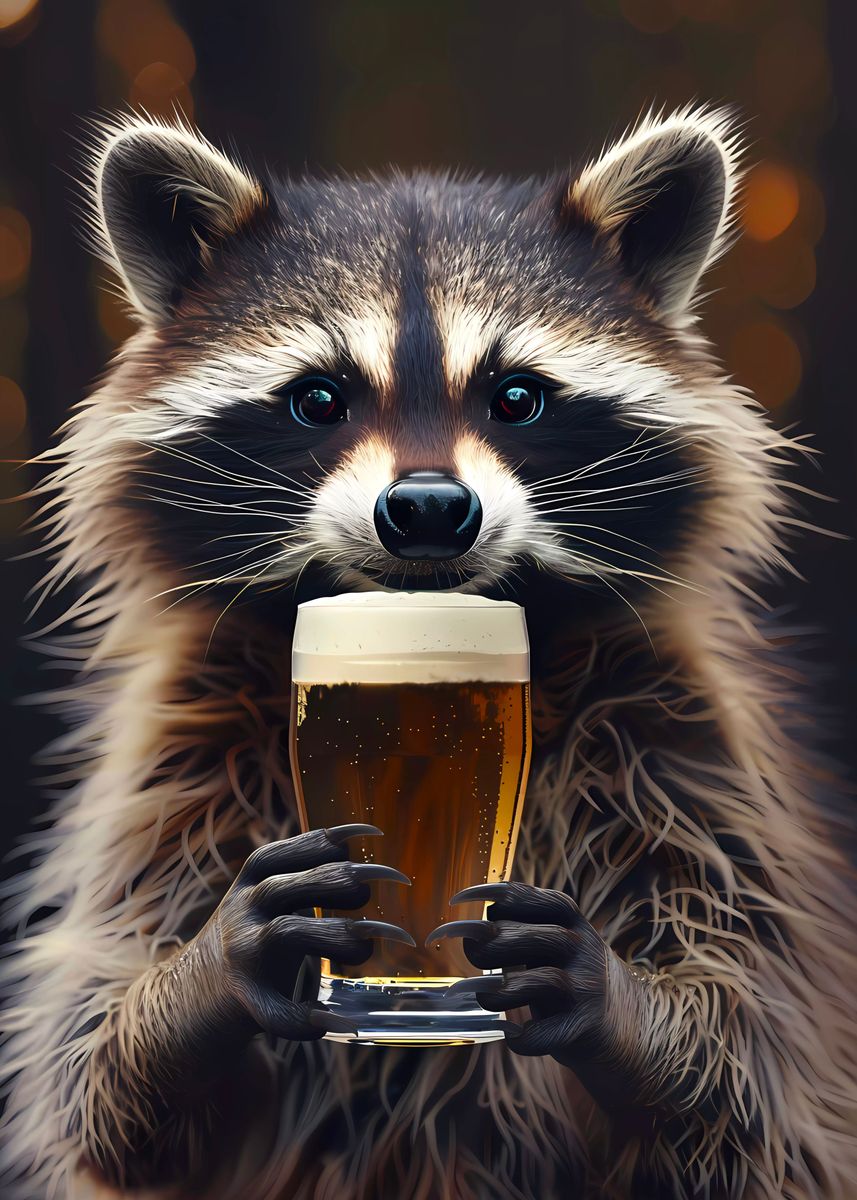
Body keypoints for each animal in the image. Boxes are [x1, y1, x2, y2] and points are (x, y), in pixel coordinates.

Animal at [1, 105, 856, 1200]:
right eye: (318, 399)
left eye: (517, 398)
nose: (427, 509)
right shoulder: (180, 760)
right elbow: (108, 1091)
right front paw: (205, 973)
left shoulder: (680, 746)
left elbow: (748, 1084)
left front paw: (624, 1009)